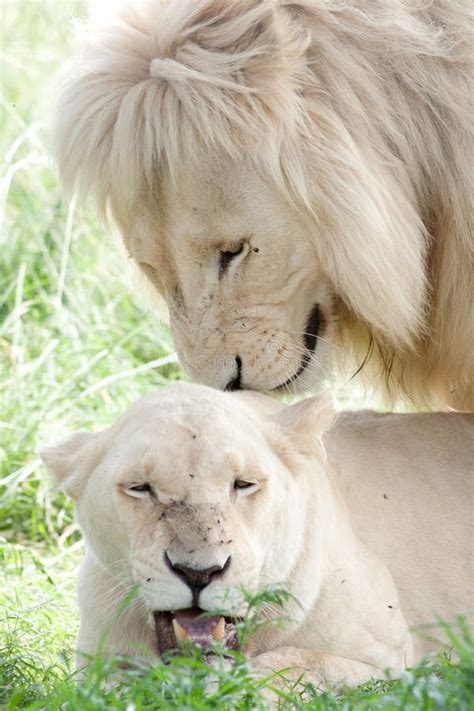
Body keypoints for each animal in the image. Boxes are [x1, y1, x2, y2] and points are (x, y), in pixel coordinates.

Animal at [41, 383, 473, 689]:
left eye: (243, 484)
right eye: (140, 488)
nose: (198, 573)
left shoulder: (390, 662)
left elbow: (289, 663)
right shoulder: (97, 665)